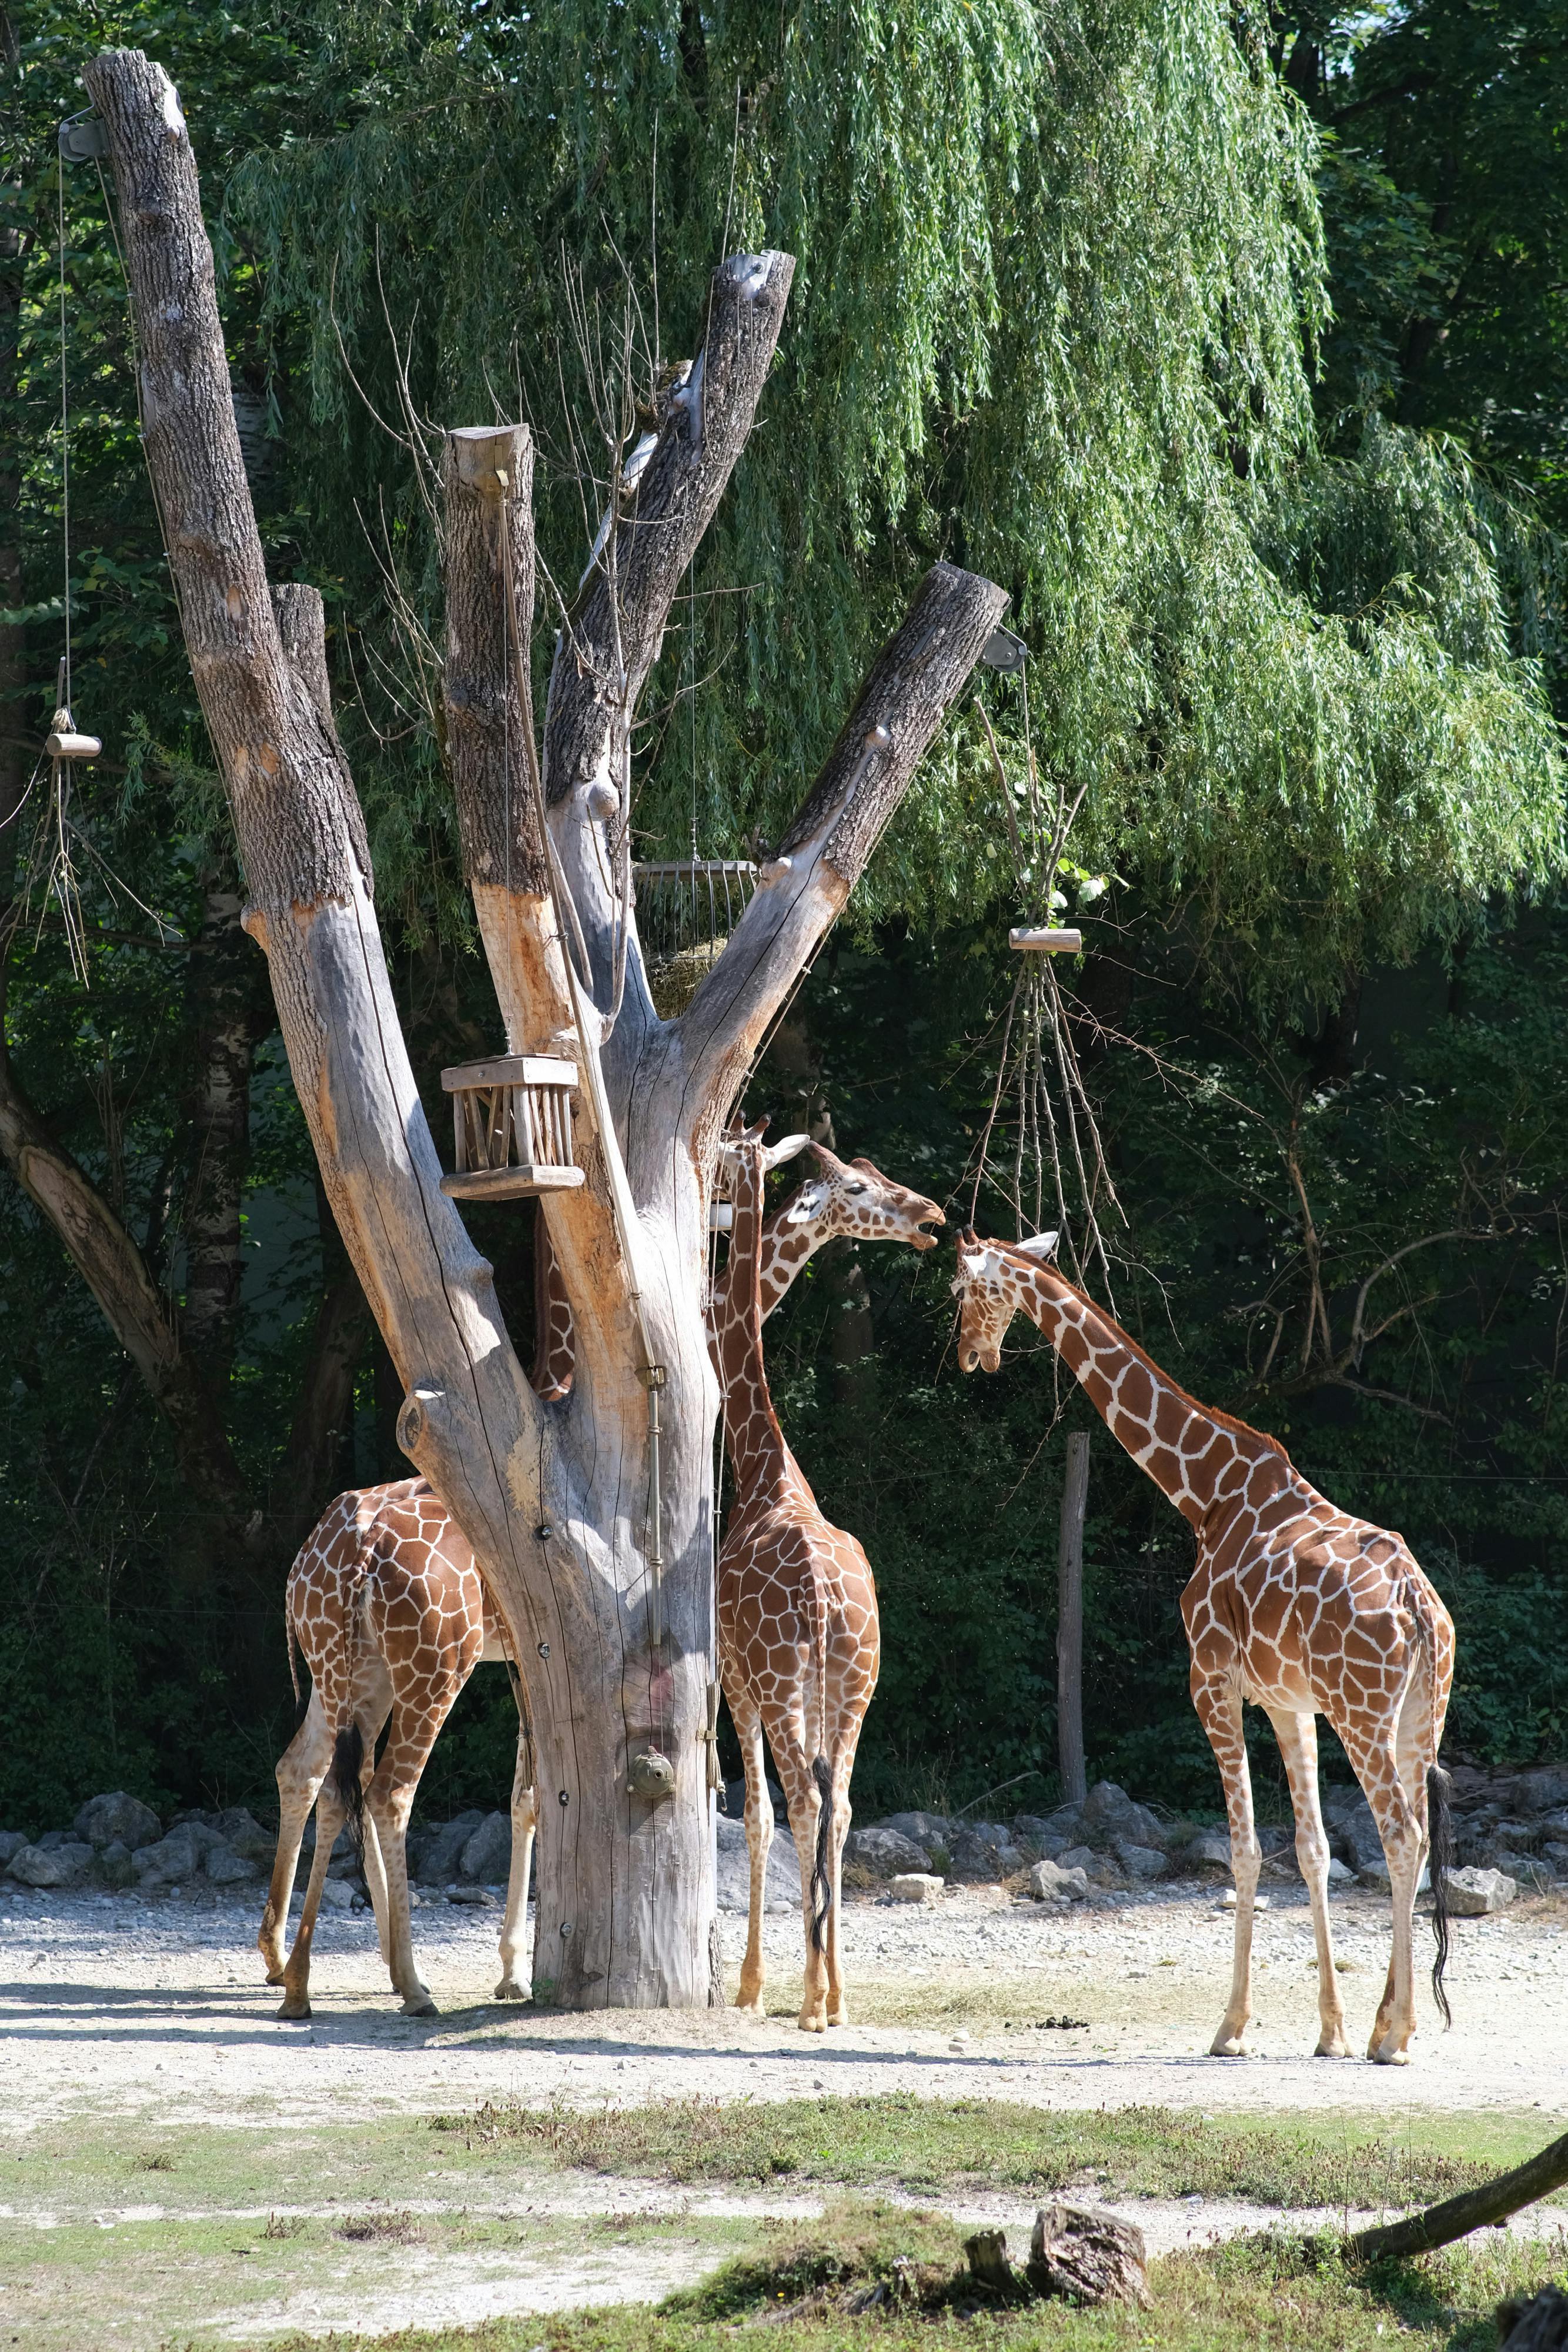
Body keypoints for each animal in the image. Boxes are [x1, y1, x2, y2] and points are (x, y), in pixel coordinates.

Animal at [263, 1149, 941, 2019]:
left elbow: (529, 1796)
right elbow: (535, 1797)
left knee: (311, 1771)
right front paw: (517, 1968)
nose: (928, 1218)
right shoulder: (534, 1646)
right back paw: (398, 1978)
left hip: (349, 1664)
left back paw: (293, 1967)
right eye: (859, 1188)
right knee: (380, 1789)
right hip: (428, 1664)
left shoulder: (524, 1652)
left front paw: (512, 1964)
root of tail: (331, 1551)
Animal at [951, 1230, 1456, 2066]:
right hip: (1421, 1714)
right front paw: (1329, 2029)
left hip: (1363, 1713)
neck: (1204, 1494)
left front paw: (1232, 2027)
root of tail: (1420, 1609)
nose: (969, 1354)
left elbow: (1246, 1849)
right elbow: (1312, 1849)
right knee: (1414, 1840)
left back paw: (1397, 2035)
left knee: (1402, 1835)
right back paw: (1386, 2023)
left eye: (966, 1289)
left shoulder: (1211, 1680)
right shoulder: (1288, 1701)